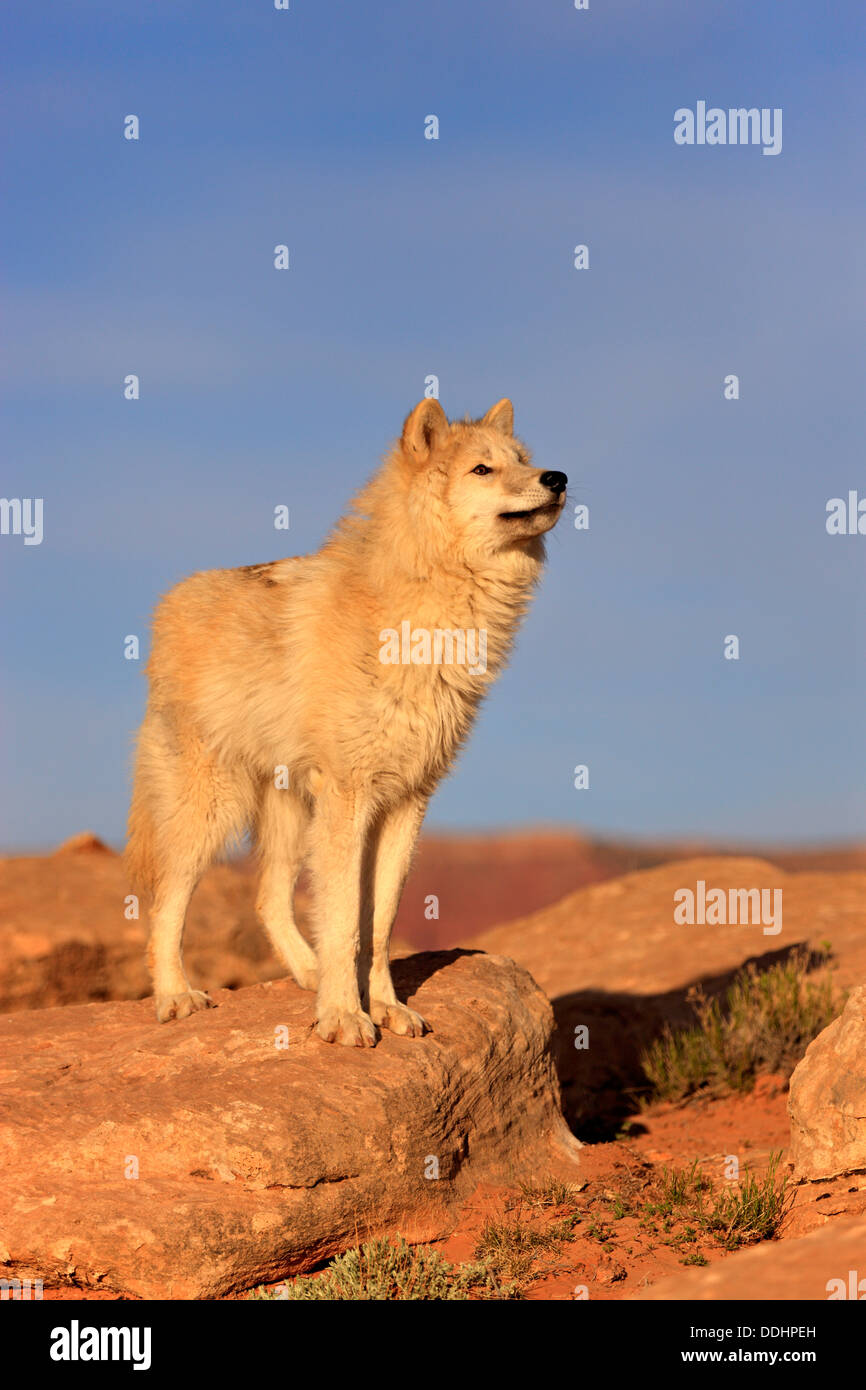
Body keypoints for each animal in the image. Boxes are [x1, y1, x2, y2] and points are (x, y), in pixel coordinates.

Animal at [125, 398, 567, 1045]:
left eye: (523, 461)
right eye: (482, 469)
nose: (557, 479)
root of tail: (169, 605)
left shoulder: (407, 801)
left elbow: (377, 925)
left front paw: (383, 1007)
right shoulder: (349, 796)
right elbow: (344, 923)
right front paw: (342, 1018)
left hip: (289, 817)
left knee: (265, 898)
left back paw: (306, 974)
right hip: (212, 810)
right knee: (164, 902)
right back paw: (176, 997)